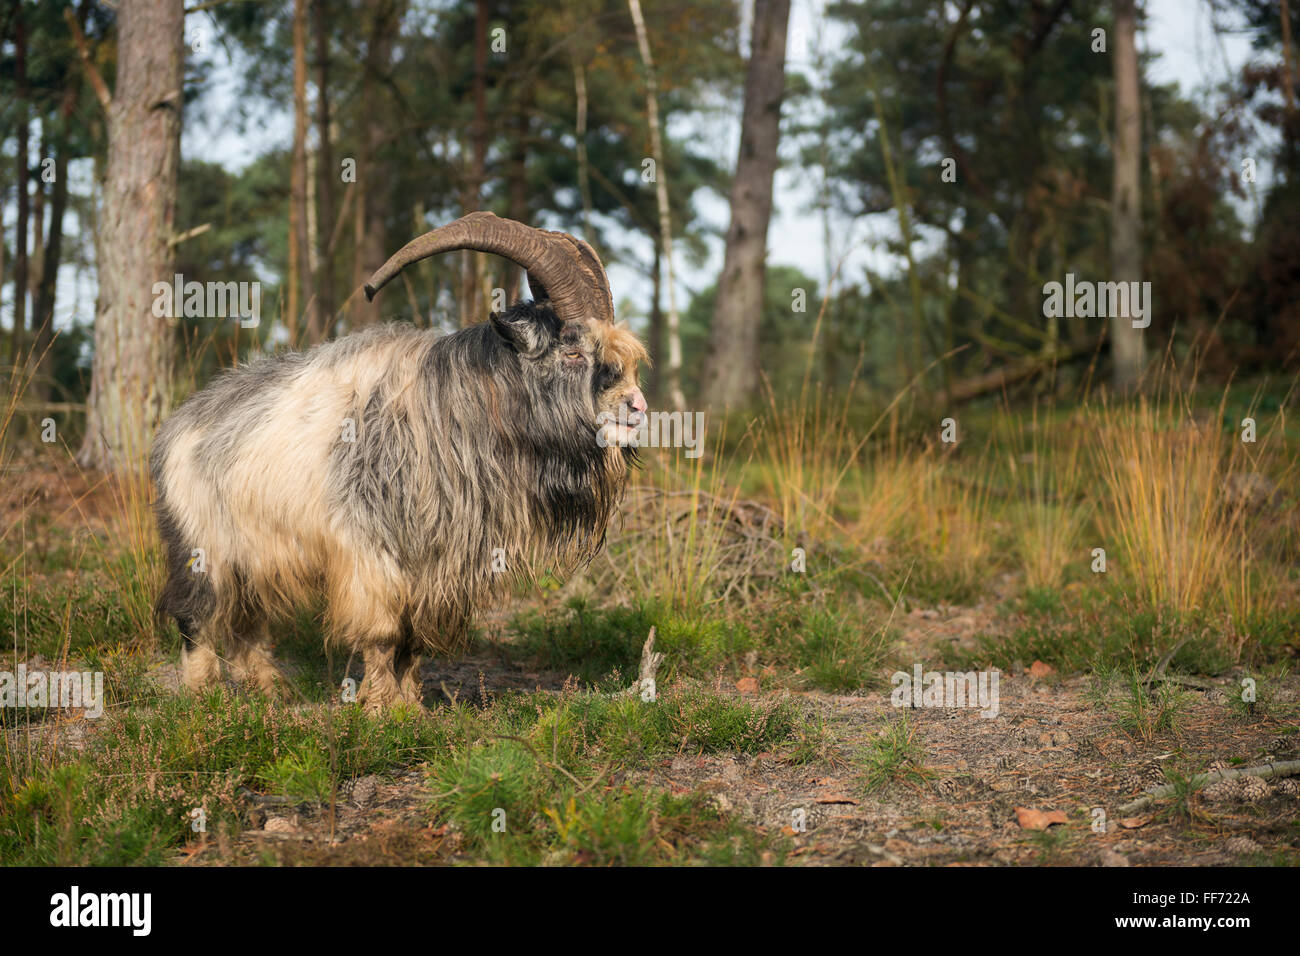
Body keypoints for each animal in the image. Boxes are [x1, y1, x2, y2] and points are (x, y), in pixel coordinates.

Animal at [151, 213, 648, 709]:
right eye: (573, 352)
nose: (637, 407)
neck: (453, 412)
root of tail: (176, 426)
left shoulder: (434, 564)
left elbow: (413, 641)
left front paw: (410, 706)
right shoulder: (368, 550)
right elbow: (383, 633)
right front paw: (378, 708)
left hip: (256, 555)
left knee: (246, 622)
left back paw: (272, 689)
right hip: (203, 545)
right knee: (198, 617)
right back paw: (202, 695)